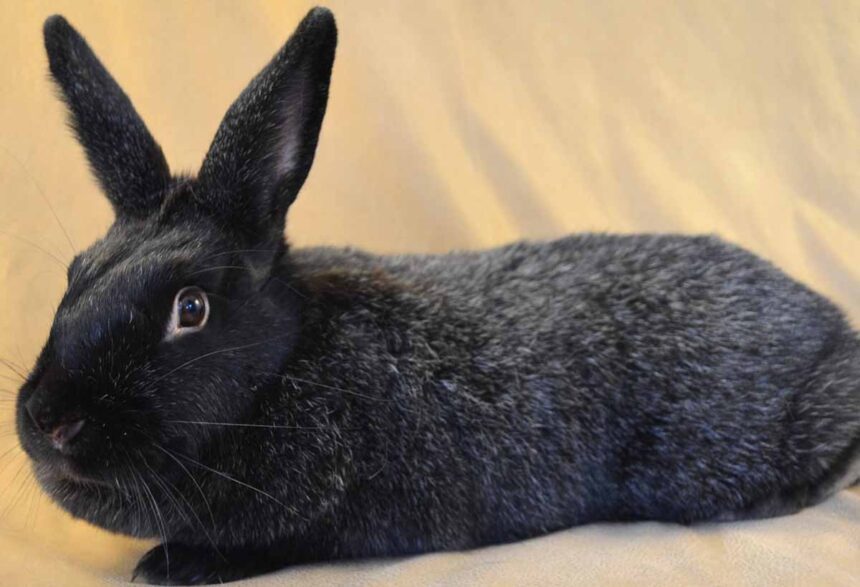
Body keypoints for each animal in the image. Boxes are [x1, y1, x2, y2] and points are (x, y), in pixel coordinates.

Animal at [15, 6, 859, 586]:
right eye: (75, 273)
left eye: (190, 309)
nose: (49, 421)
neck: (287, 368)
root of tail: (837, 332)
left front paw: (170, 564)